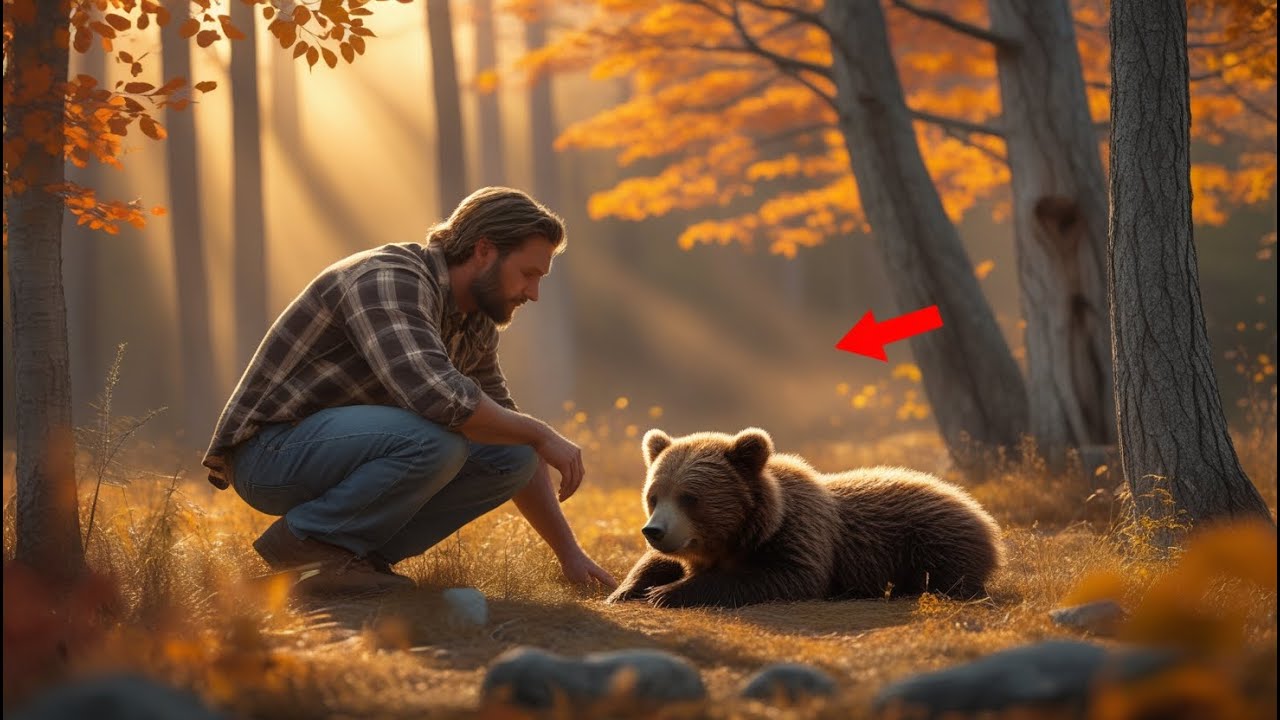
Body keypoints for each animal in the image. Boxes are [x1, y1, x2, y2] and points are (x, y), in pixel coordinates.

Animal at [606, 427, 1003, 608]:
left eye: (689, 497)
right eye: (654, 496)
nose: (654, 530)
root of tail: (978, 508)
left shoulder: (799, 535)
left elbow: (785, 577)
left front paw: (666, 593)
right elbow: (654, 563)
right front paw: (625, 590)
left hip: (932, 534)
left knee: (950, 573)